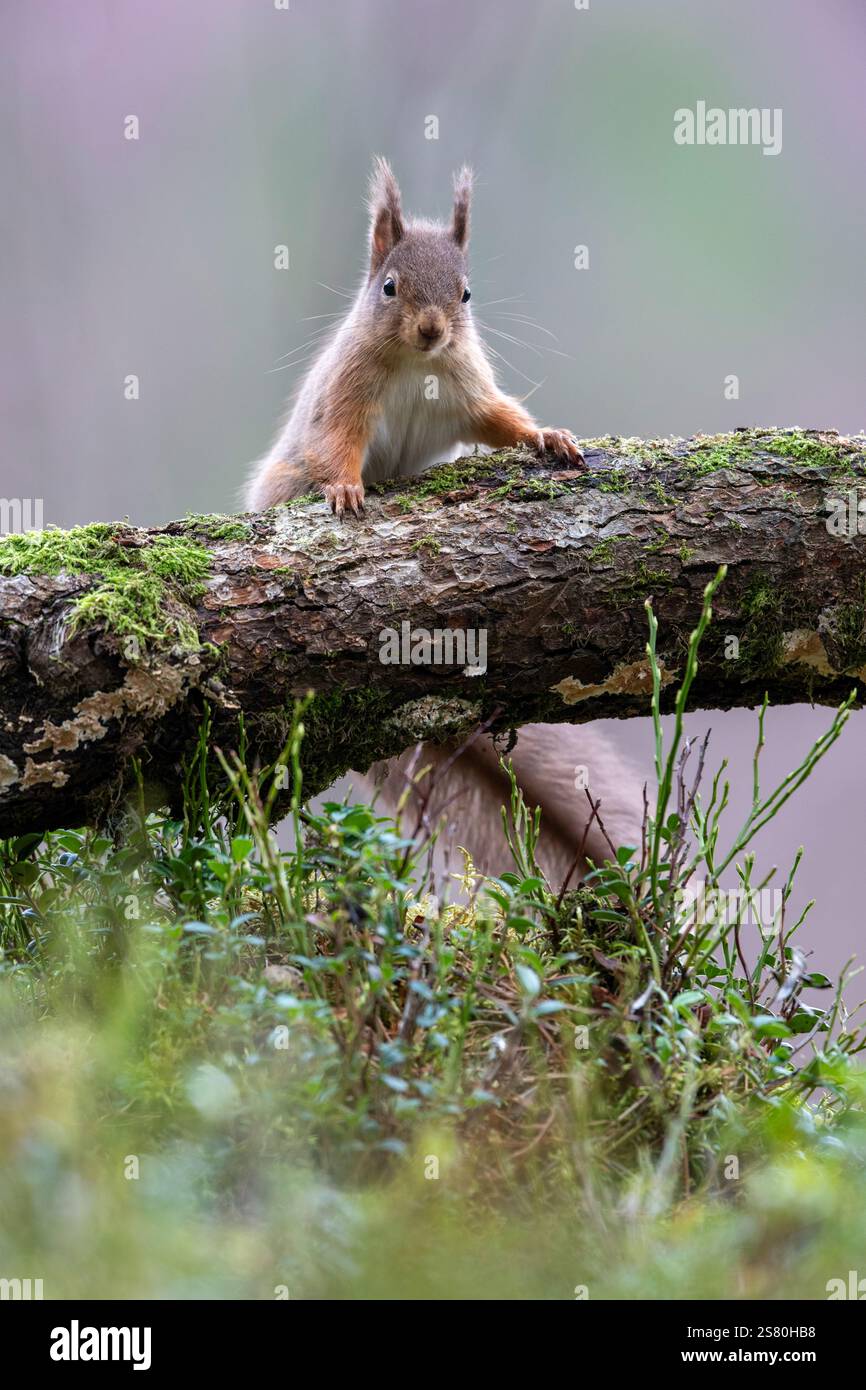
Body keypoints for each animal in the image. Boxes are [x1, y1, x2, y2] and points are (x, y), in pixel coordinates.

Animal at [244, 158, 585, 516]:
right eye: (389, 287)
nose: (431, 329)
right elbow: (335, 439)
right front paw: (344, 487)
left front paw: (547, 435)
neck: (416, 364)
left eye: (466, 294)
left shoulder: (470, 391)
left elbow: (499, 418)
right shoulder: (345, 390)